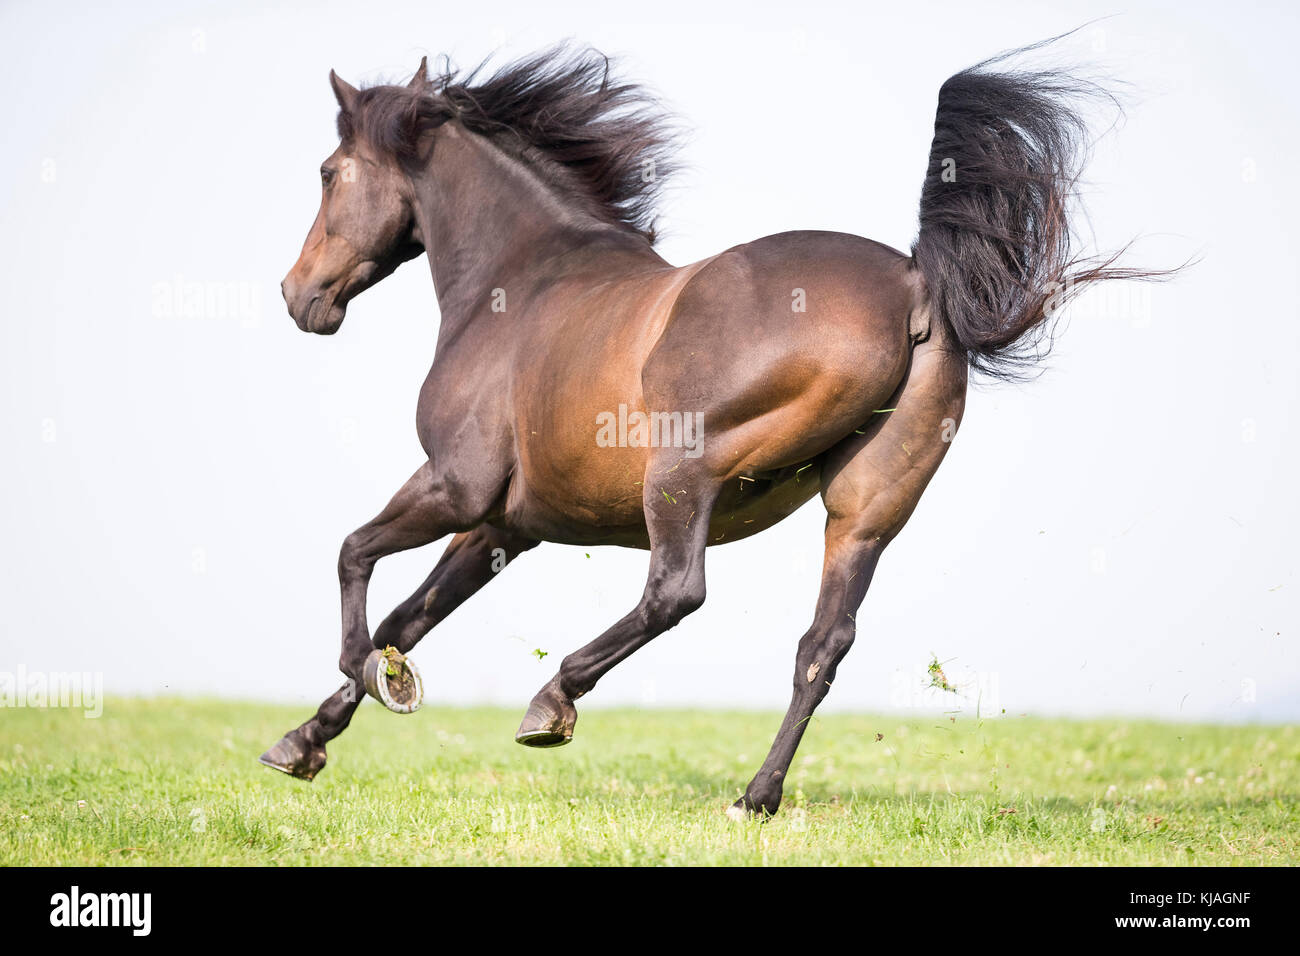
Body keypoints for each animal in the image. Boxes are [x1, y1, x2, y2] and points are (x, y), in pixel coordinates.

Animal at [261, 39, 1165, 818]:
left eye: (328, 172)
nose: (298, 295)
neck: (519, 283)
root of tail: (916, 283)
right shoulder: (503, 525)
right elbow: (406, 618)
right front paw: (307, 739)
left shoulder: (456, 486)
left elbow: (354, 557)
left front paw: (358, 678)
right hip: (866, 510)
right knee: (822, 642)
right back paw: (754, 797)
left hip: (682, 474)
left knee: (676, 592)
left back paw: (553, 703)